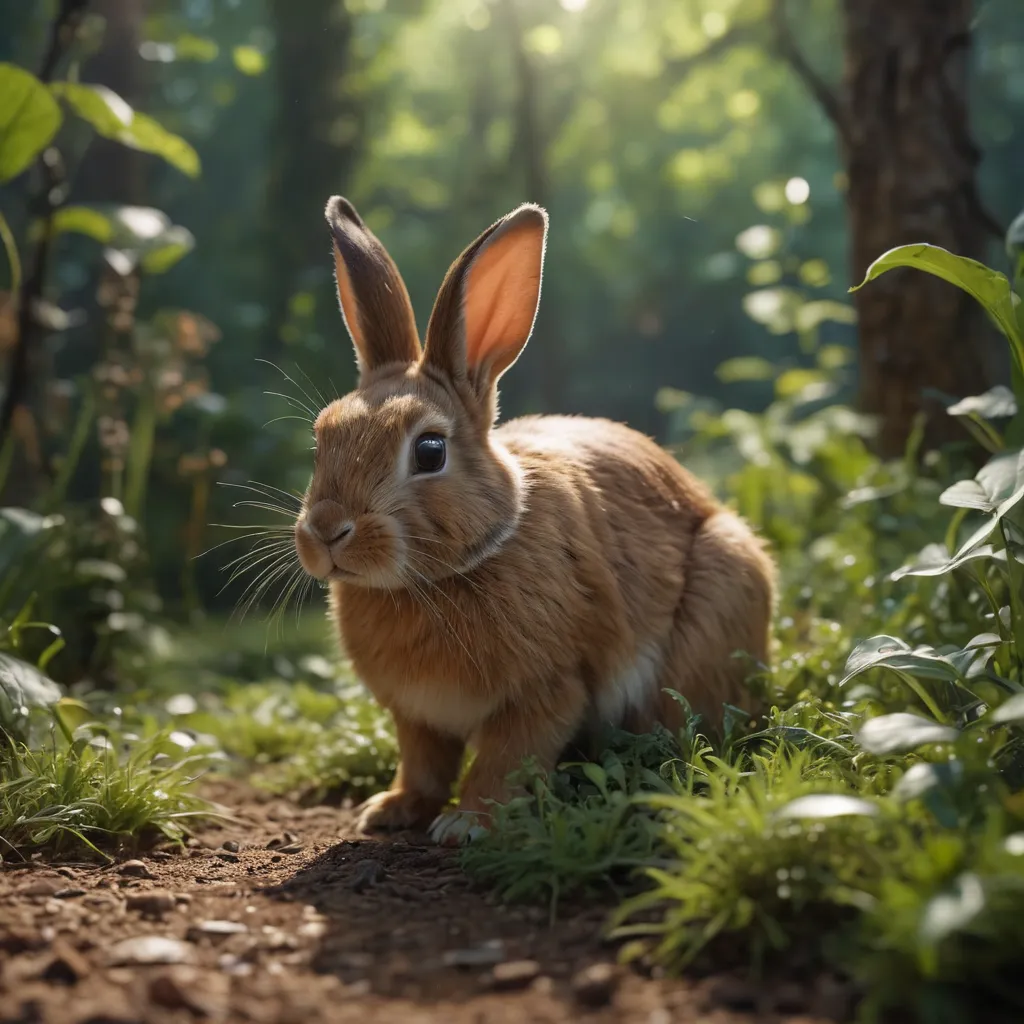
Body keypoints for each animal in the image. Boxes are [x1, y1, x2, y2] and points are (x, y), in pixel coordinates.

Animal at [293, 195, 776, 845]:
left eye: (429, 452)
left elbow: (507, 758)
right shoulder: (417, 716)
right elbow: (422, 763)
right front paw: (390, 810)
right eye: (322, 438)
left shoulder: (547, 691)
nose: (326, 532)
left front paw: (467, 825)